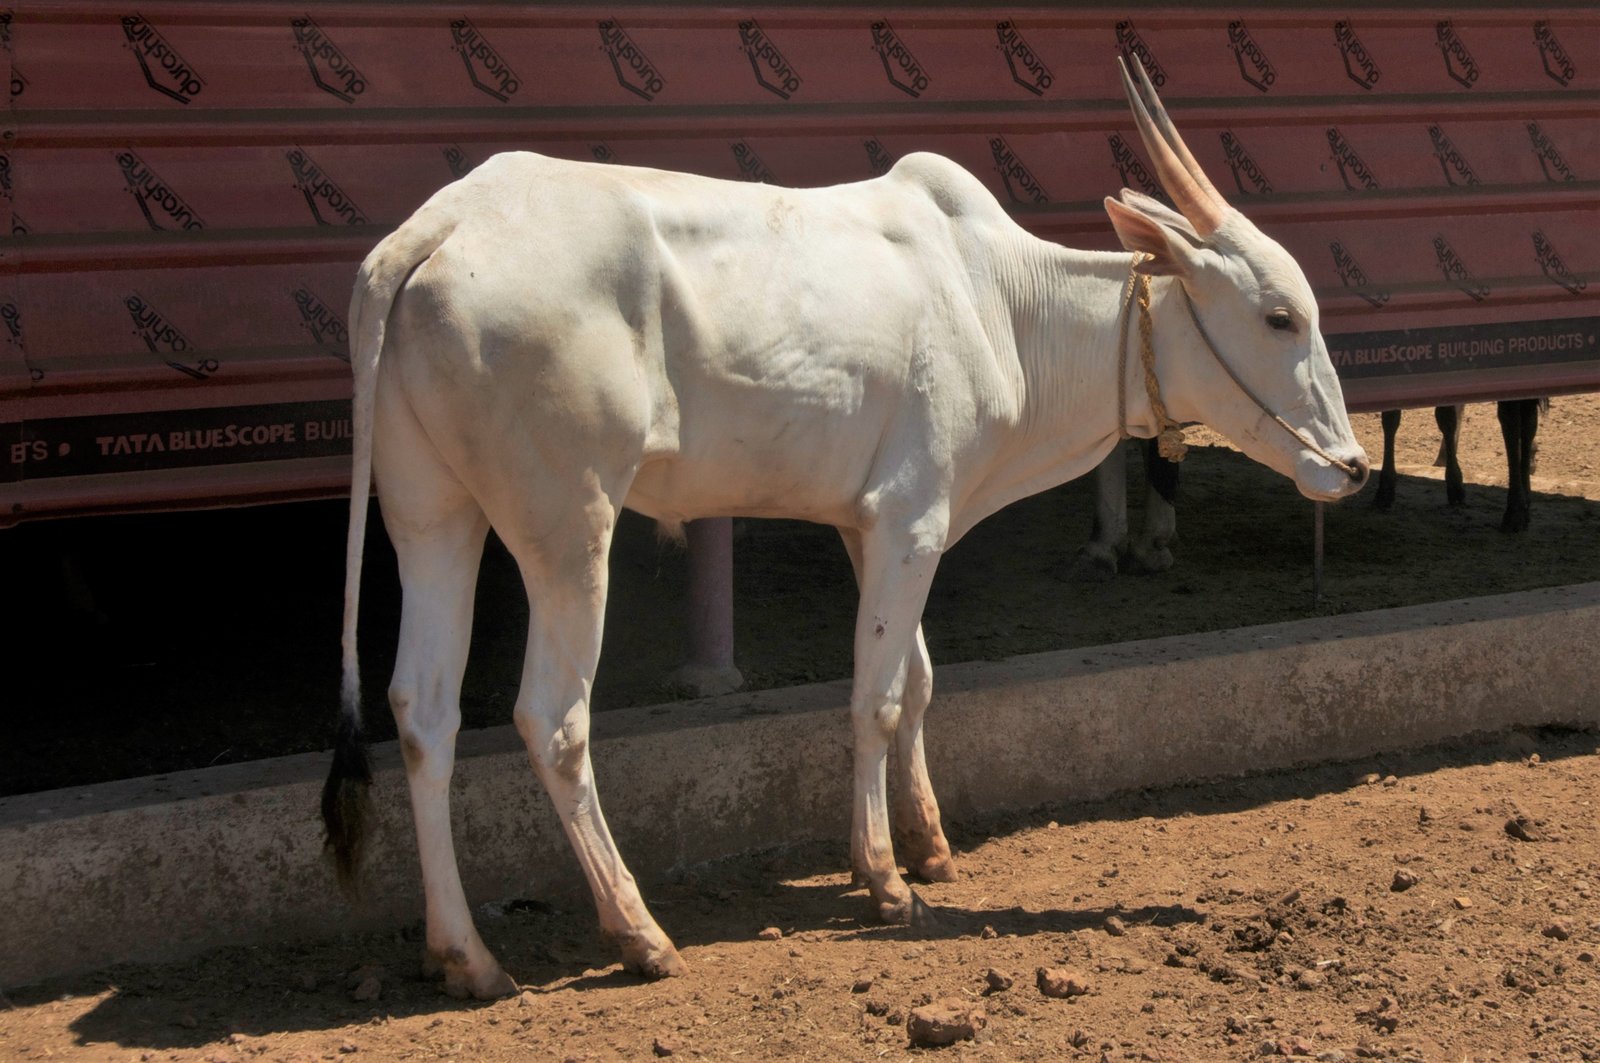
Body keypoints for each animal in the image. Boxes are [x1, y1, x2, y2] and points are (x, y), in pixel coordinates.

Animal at [321, 59, 1370, 999]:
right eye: (1280, 316)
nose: (1353, 466)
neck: (1002, 303)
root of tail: (441, 225)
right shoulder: (910, 517)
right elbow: (876, 696)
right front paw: (886, 880)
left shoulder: (877, 527)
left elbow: (920, 678)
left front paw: (932, 845)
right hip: (569, 524)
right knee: (553, 716)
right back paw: (639, 932)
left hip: (431, 514)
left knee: (422, 711)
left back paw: (463, 955)